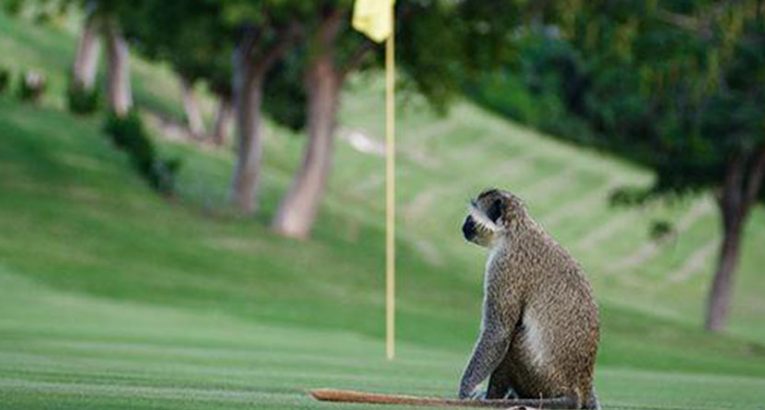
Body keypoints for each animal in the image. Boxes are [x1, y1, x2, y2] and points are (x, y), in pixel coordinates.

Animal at [458, 188, 601, 410]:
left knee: (514, 337)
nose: (464, 223)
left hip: (541, 378)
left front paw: (465, 391)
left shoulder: (504, 265)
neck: (516, 230)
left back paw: (493, 399)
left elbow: (499, 333)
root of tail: (577, 389)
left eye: (472, 213)